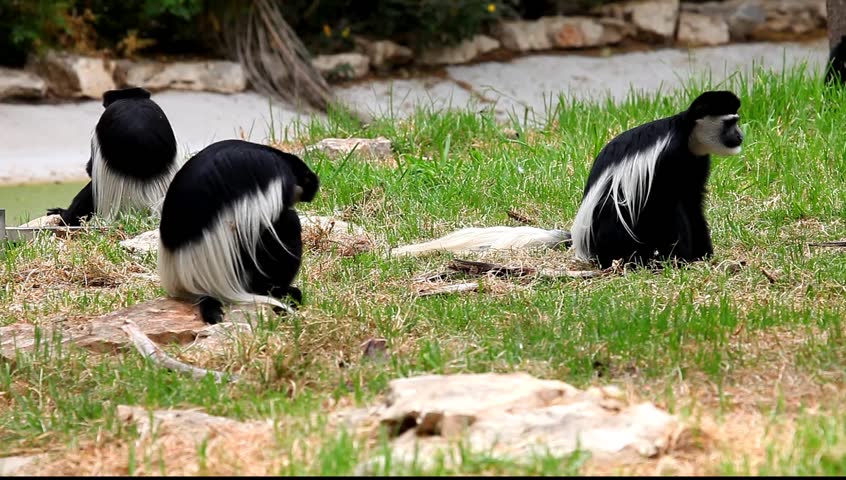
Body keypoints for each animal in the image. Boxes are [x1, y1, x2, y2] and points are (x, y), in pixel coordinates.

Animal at [570, 90, 744, 270]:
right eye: (729, 123)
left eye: (735, 122)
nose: (740, 136)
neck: (686, 136)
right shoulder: (668, 156)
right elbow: (670, 208)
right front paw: (680, 260)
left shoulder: (698, 161)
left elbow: (692, 203)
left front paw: (703, 254)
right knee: (617, 214)